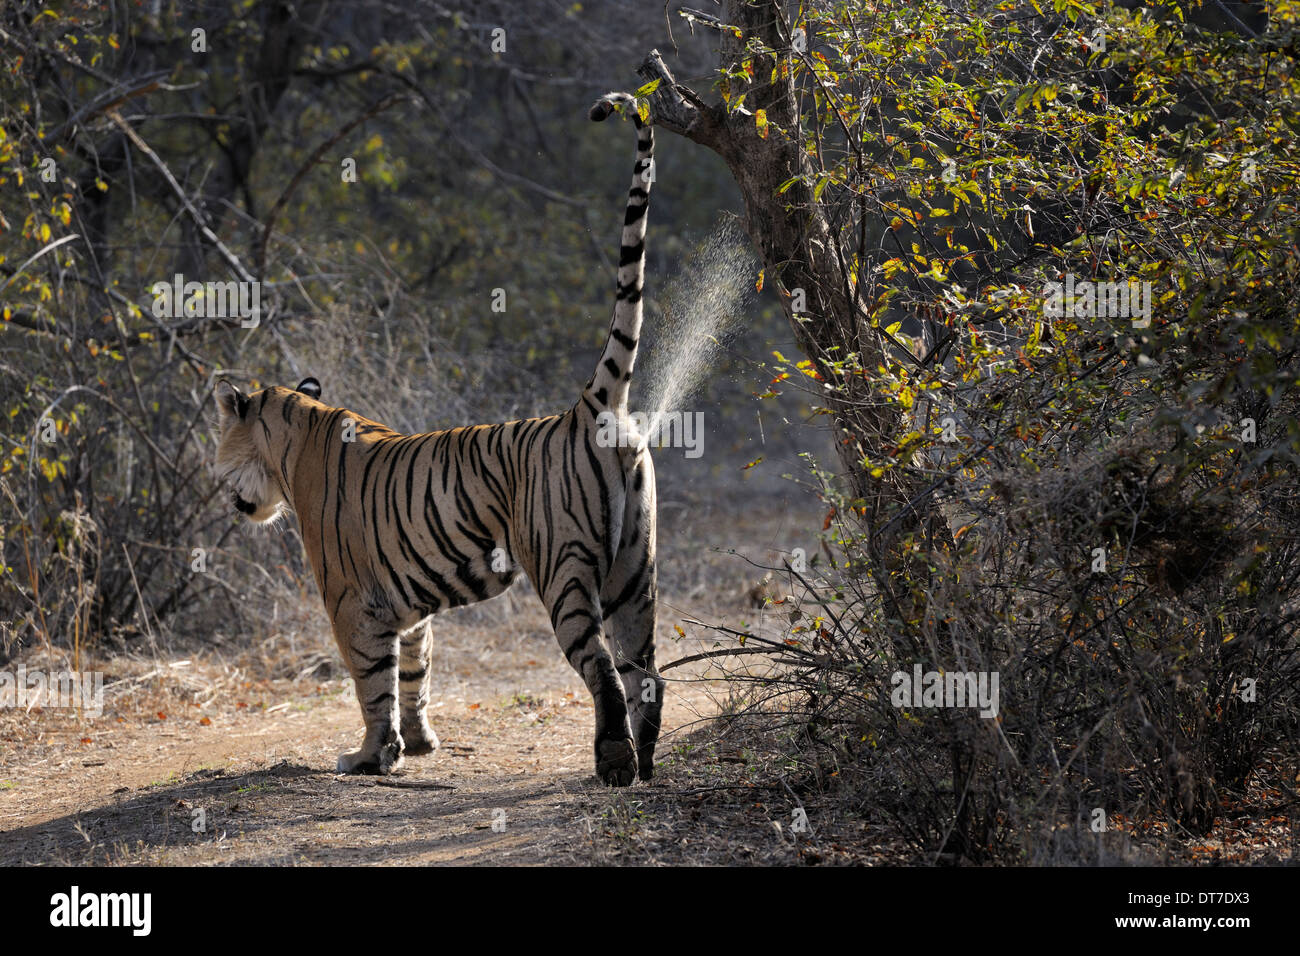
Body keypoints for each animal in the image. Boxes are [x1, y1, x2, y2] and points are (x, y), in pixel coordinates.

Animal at [213, 93, 661, 786]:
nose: (225, 495)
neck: (293, 433)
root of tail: (590, 405)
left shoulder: (350, 603)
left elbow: (371, 685)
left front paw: (370, 758)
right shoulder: (408, 605)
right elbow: (414, 673)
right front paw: (419, 745)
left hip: (564, 572)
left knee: (604, 669)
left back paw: (614, 762)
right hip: (635, 569)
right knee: (647, 671)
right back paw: (647, 762)